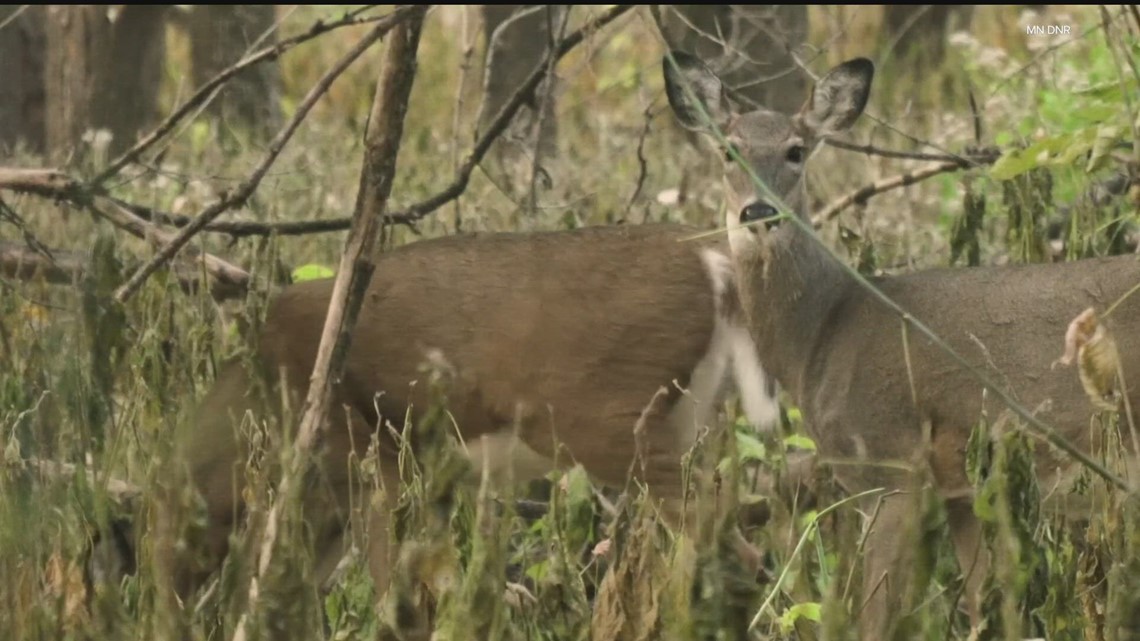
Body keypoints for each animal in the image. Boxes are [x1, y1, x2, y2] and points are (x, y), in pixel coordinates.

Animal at [153, 222, 786, 617]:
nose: (167, 604)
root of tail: (715, 267)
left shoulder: (374, 454)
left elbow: (390, 587)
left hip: (608, 417)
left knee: (733, 543)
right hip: (682, 418)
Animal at [663, 48, 1140, 638]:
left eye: (796, 150)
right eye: (729, 149)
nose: (759, 213)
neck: (821, 334)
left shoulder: (892, 464)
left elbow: (876, 617)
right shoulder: (960, 490)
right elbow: (987, 607)